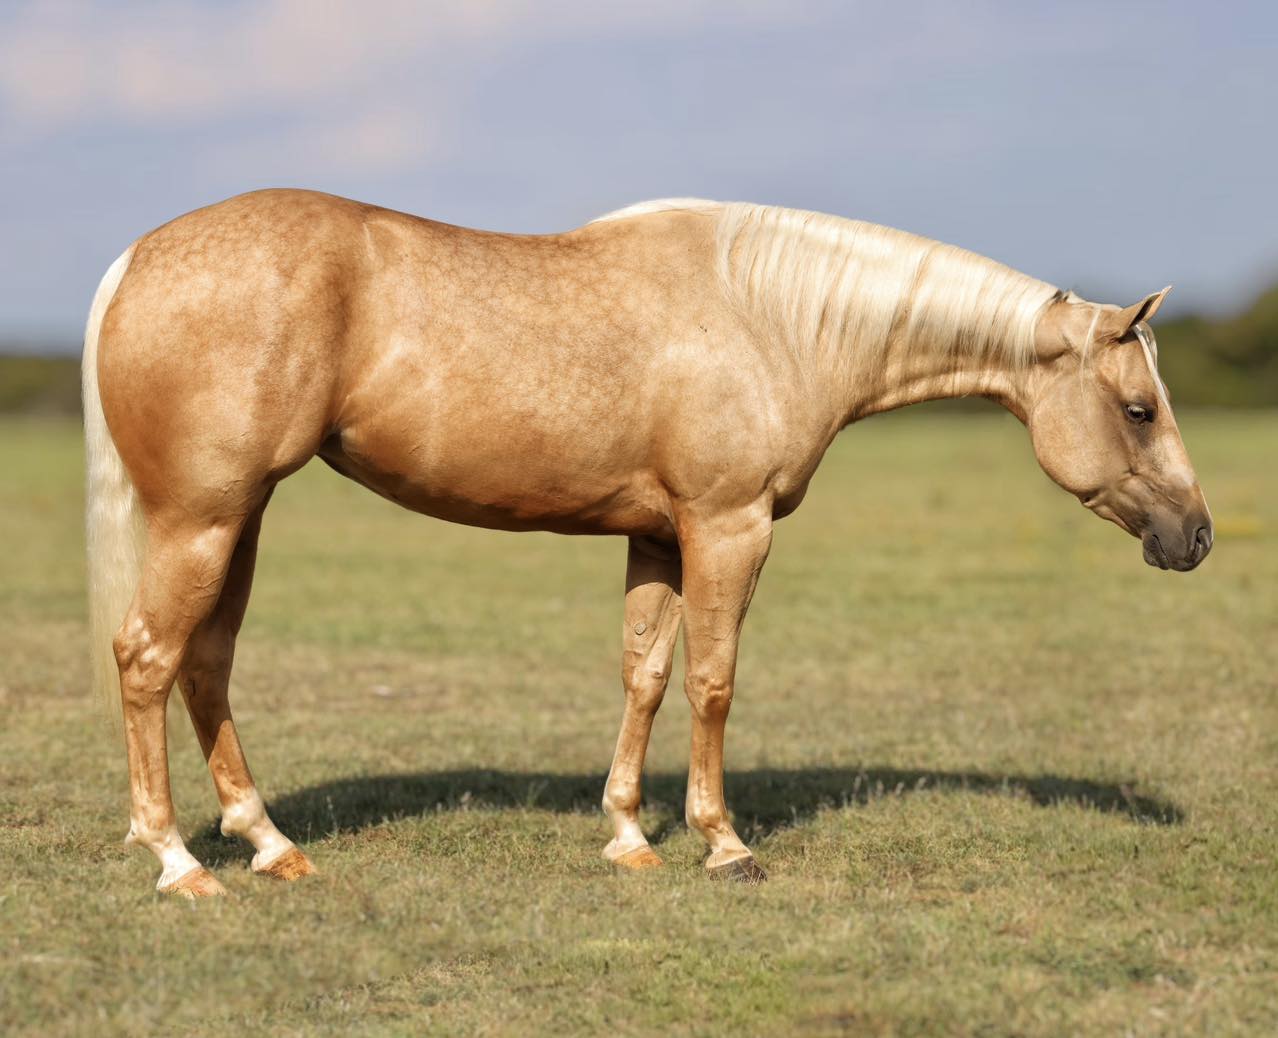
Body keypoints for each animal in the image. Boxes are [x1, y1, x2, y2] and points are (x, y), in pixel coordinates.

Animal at [82, 191, 1212, 896]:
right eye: (1141, 408)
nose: (1195, 536)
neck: (771, 316)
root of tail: (135, 259)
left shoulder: (659, 538)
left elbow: (648, 674)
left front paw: (629, 836)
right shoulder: (727, 527)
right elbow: (713, 679)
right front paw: (724, 845)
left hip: (240, 520)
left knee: (206, 665)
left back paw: (270, 846)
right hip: (203, 519)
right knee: (146, 659)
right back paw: (179, 863)